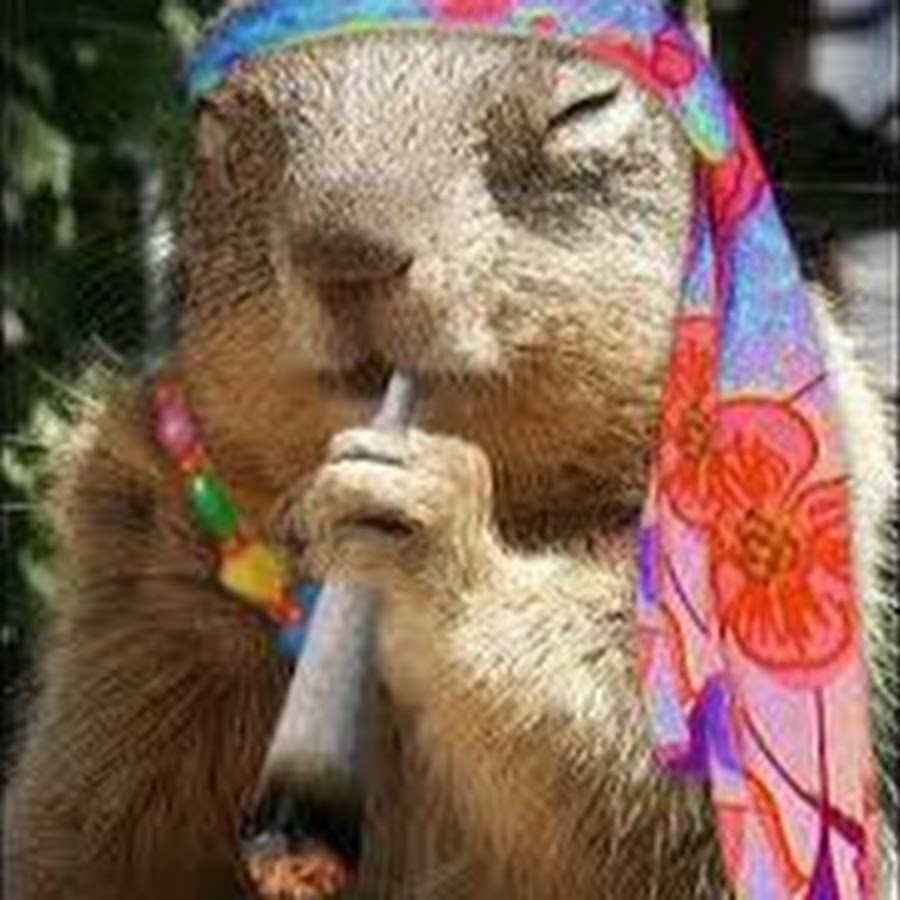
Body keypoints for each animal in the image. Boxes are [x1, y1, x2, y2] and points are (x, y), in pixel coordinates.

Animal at [4, 14, 897, 900]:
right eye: (221, 115)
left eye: (584, 108)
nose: (348, 252)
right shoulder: (145, 582)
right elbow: (88, 831)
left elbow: (660, 743)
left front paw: (431, 533)